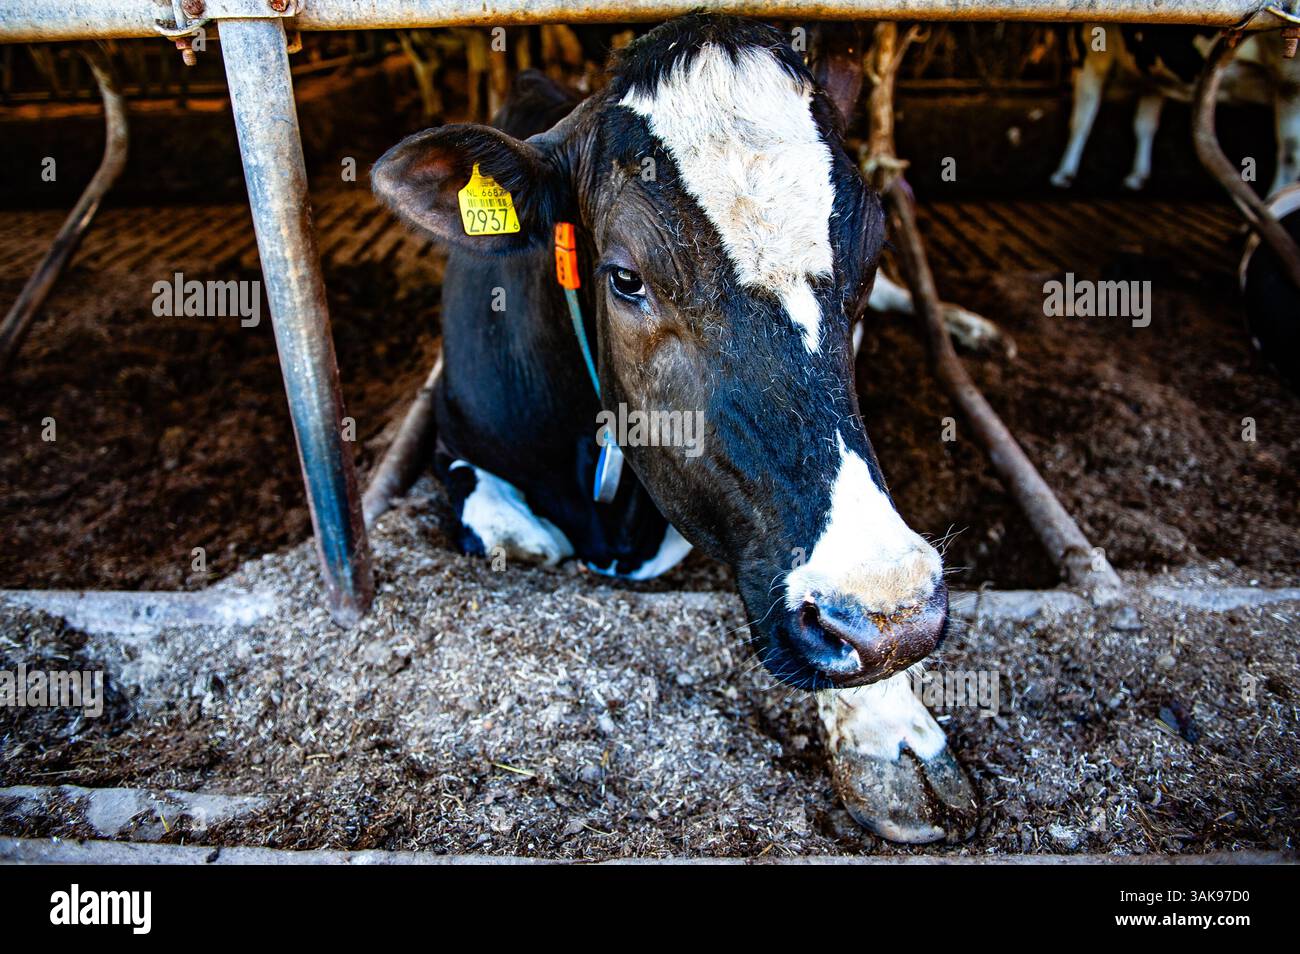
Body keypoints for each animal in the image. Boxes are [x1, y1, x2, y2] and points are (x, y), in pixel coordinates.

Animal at [372, 14, 978, 843]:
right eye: (626, 278)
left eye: (871, 251)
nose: (895, 613)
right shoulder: (456, 439)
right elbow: (511, 535)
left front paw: (888, 726)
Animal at [1051, 24, 1300, 196]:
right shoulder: (1152, 74)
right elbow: (1144, 124)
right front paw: (1137, 175)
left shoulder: (1089, 49)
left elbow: (1081, 119)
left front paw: (1063, 173)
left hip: (1289, 83)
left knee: (1290, 154)